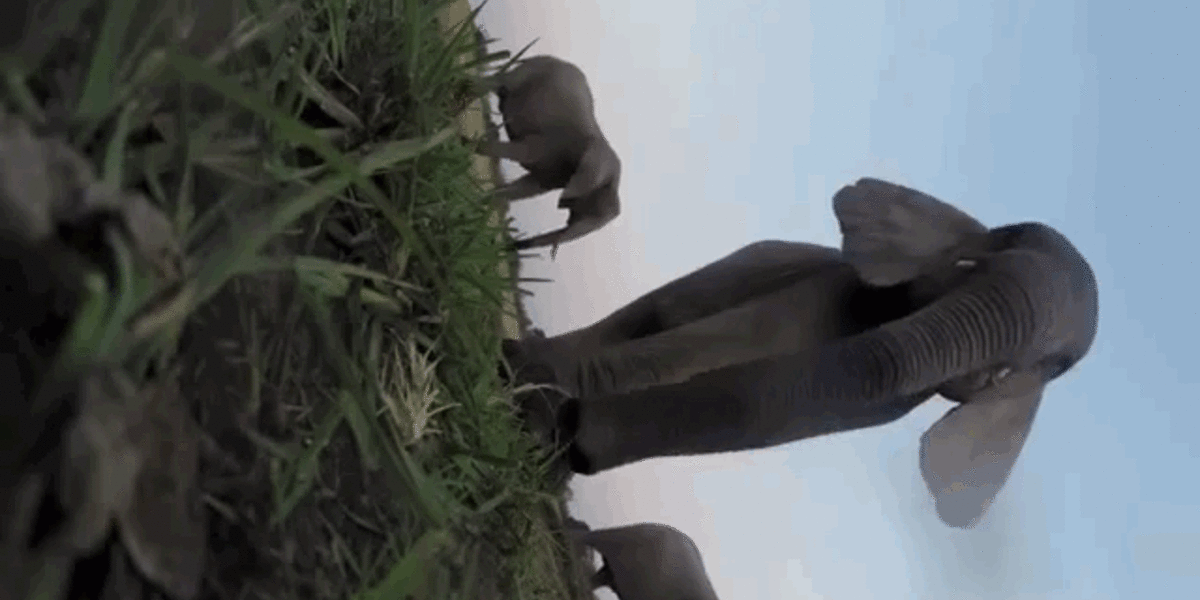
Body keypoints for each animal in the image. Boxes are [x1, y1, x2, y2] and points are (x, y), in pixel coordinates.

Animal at [472, 55, 622, 258]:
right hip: (532, 71)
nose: (508, 247)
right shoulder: (552, 145)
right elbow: (523, 154)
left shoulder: (557, 174)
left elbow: (527, 187)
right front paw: (462, 142)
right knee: (496, 83)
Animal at [513, 178, 1099, 528]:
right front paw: (535, 404)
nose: (575, 428)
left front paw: (558, 440)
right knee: (661, 313)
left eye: (1031, 372)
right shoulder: (847, 289)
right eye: (973, 262)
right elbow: (760, 335)